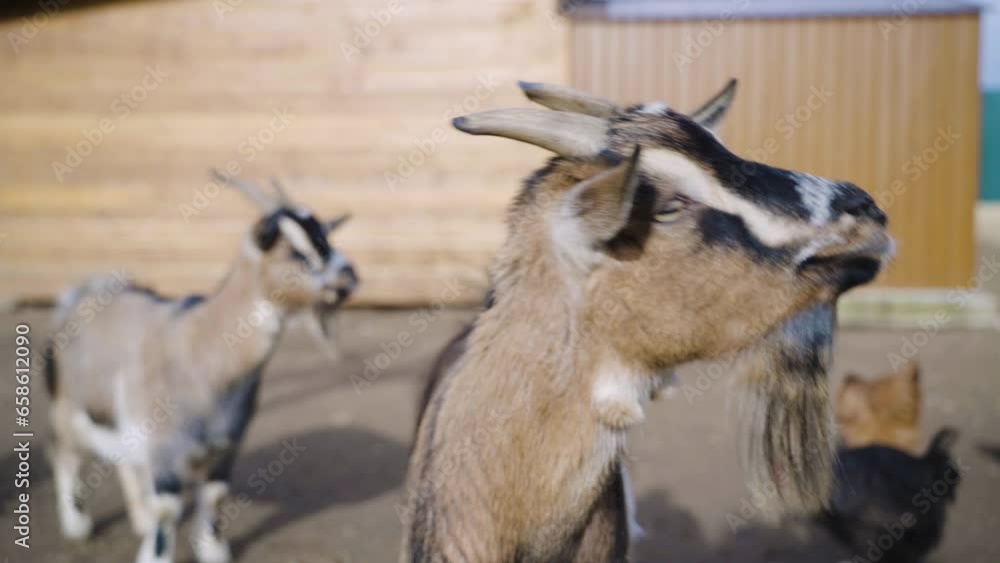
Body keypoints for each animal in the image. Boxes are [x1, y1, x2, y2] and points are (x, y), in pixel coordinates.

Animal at [45, 173, 358, 563]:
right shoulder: (165, 446)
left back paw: (139, 519)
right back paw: (77, 524)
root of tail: (81, 294)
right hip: (67, 407)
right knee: (63, 453)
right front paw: (155, 555)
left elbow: (215, 494)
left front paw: (212, 549)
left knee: (126, 462)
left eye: (326, 238)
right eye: (295, 250)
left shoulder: (227, 445)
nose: (349, 277)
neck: (202, 345)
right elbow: (168, 508)